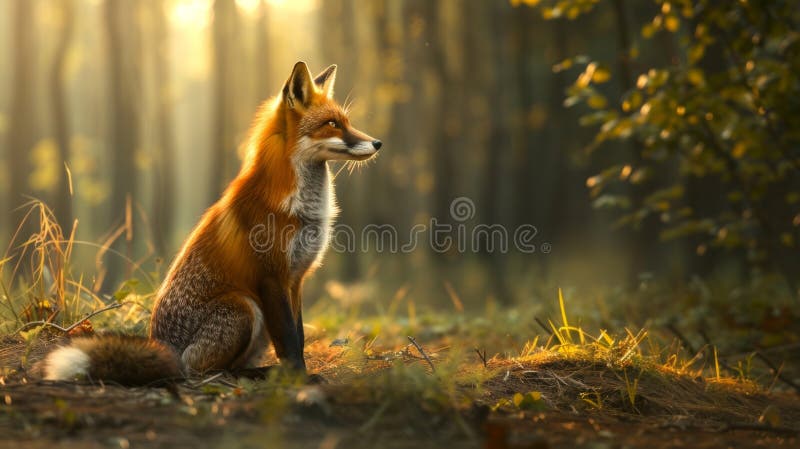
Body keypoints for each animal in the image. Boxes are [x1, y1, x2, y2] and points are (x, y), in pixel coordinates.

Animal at [43, 62, 382, 385]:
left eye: (346, 122)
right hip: (243, 305)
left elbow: (297, 335)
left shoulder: (296, 278)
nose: (378, 143)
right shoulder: (272, 276)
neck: (303, 208)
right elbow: (288, 339)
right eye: (332, 124)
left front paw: (297, 375)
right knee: (207, 370)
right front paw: (298, 377)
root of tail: (165, 349)